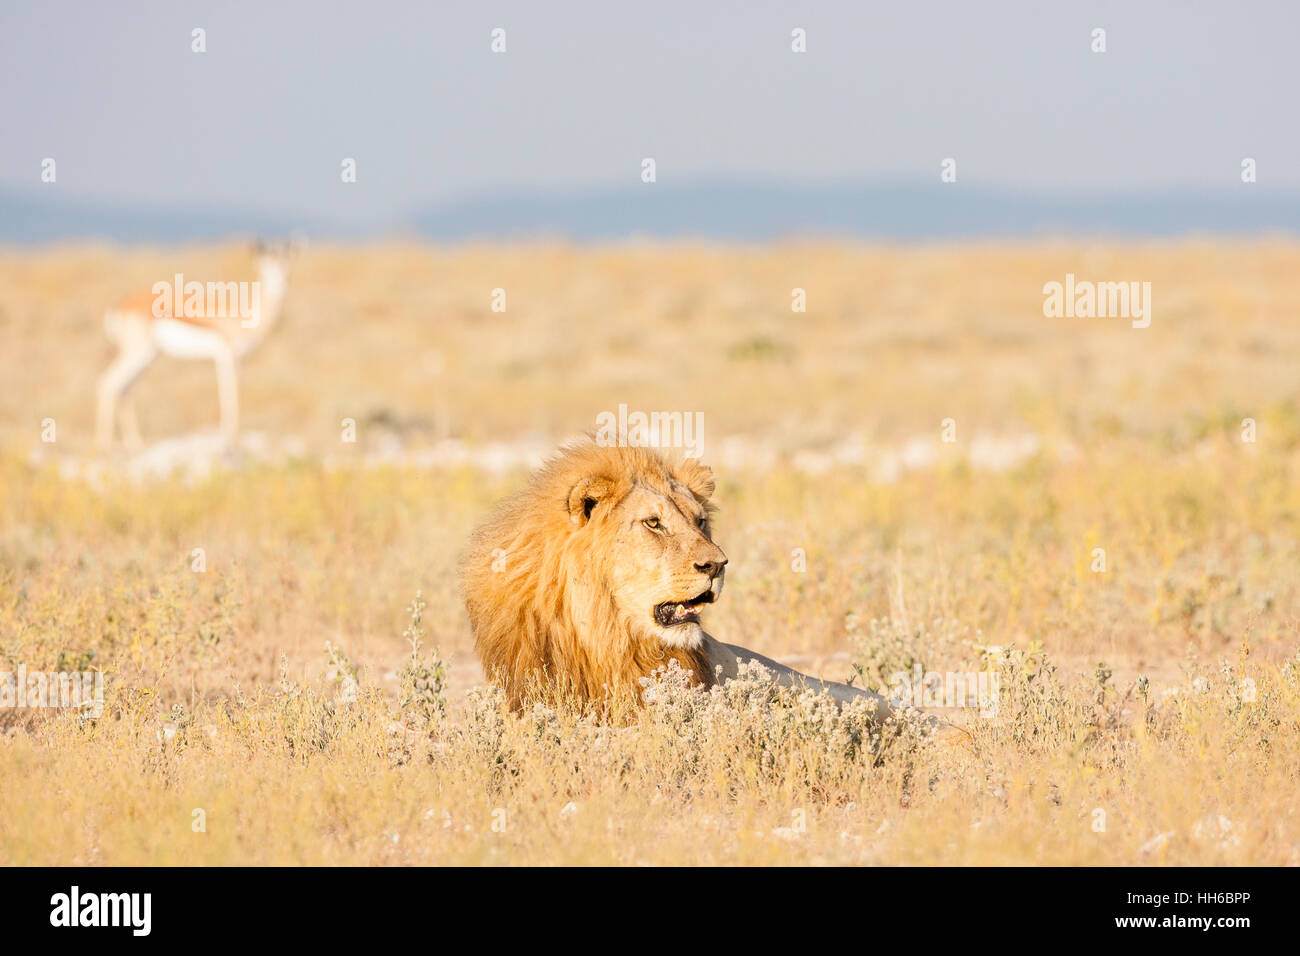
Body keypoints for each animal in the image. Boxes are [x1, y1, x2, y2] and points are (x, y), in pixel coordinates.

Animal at [95, 241, 293, 451]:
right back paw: (104, 443)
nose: (283, 284)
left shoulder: (240, 360)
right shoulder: (226, 356)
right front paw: (231, 440)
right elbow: (229, 394)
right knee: (108, 381)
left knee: (124, 387)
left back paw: (135, 443)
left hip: (149, 355)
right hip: (138, 352)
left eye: (287, 266)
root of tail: (119, 306)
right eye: (267, 268)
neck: (247, 315)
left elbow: (235, 392)